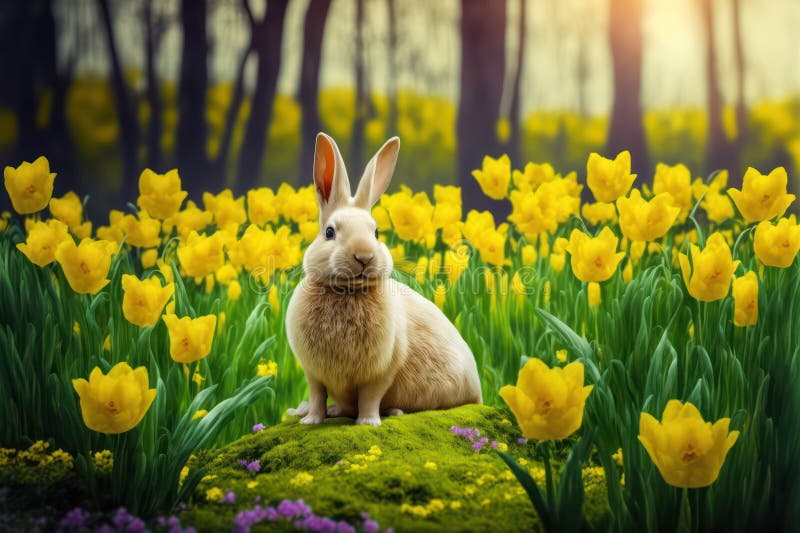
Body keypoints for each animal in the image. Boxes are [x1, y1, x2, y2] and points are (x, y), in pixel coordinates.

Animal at [285, 132, 482, 426]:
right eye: (330, 232)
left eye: (376, 233)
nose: (364, 256)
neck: (348, 291)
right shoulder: (313, 373)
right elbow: (317, 395)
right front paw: (311, 420)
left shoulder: (381, 371)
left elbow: (370, 396)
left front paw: (367, 423)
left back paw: (393, 411)